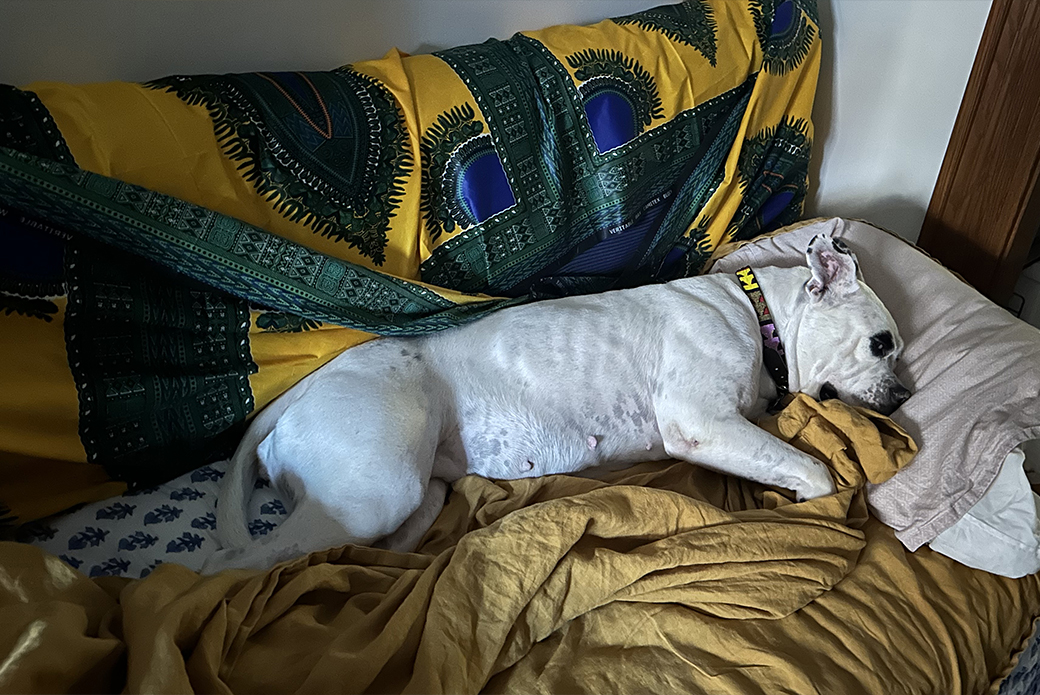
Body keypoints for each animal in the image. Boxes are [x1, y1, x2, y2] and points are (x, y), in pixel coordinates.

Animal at [202, 236, 911, 574]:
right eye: (882, 344)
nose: (904, 397)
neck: (758, 314)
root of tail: (304, 388)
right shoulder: (703, 424)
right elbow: (813, 468)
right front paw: (811, 506)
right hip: (374, 491)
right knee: (234, 565)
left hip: (418, 497)